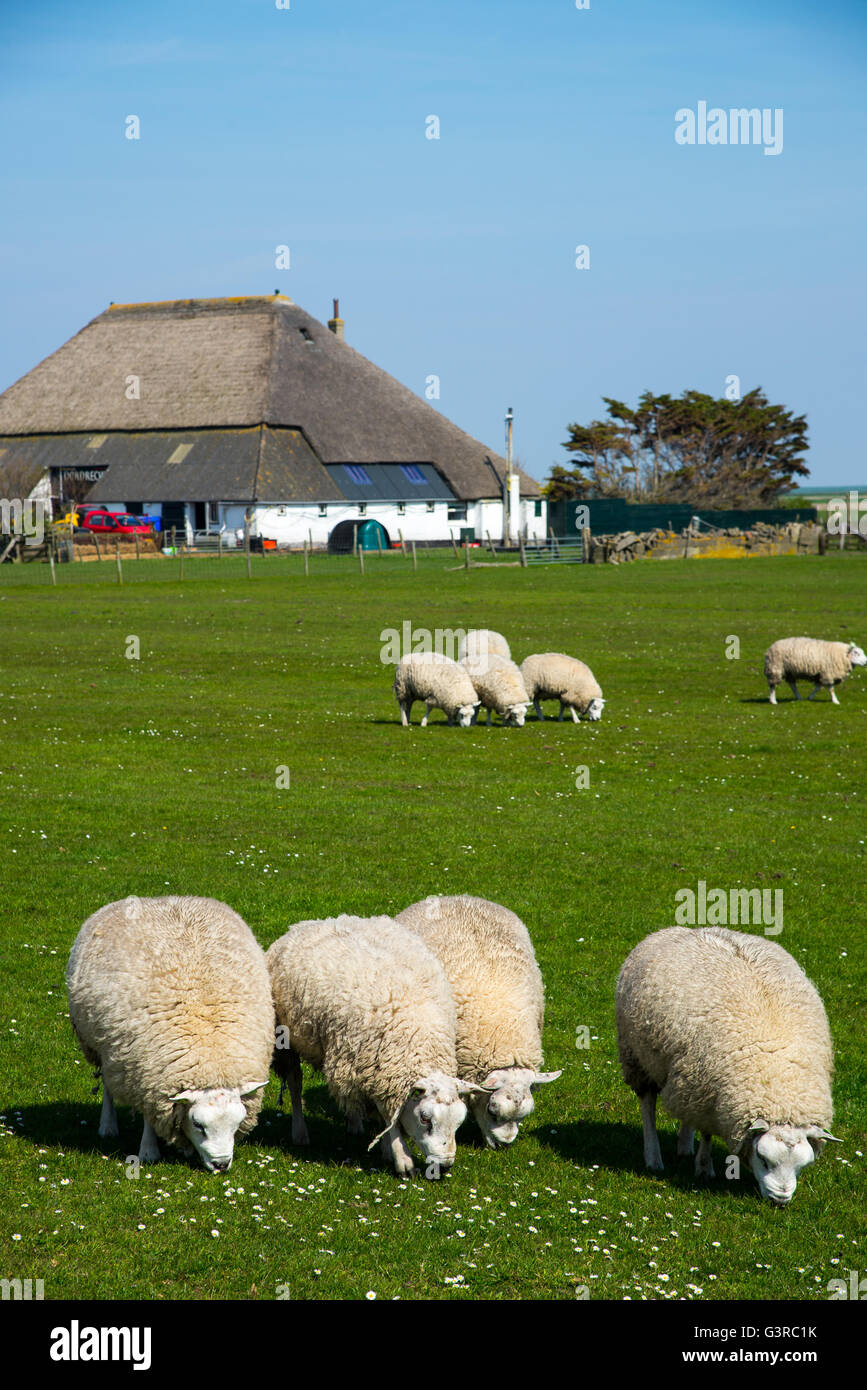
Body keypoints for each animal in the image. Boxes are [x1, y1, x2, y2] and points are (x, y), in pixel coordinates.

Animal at [66, 896, 273, 1171]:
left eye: (237, 1123)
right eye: (198, 1125)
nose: (221, 1164)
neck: (208, 1051)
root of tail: (159, 899)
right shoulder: (147, 1074)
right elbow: (150, 1118)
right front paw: (148, 1150)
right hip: (102, 1045)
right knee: (108, 1085)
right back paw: (108, 1127)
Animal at [266, 915, 487, 1177]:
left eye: (459, 1121)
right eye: (425, 1119)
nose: (443, 1165)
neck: (419, 1036)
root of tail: (313, 922)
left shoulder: (378, 1069)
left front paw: (386, 1149)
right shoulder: (382, 1069)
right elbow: (389, 1116)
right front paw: (402, 1158)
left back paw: (354, 1123)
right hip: (288, 1039)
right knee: (295, 1082)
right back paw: (300, 1132)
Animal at [616, 926, 839, 1204]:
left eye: (803, 1166)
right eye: (763, 1160)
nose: (780, 1200)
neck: (778, 1081)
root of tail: (684, 929)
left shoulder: (703, 1088)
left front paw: (697, 1158)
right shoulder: (710, 1094)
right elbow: (706, 1133)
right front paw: (704, 1168)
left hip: (688, 1074)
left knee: (685, 1112)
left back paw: (684, 1147)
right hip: (638, 1057)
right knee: (648, 1104)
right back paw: (653, 1157)